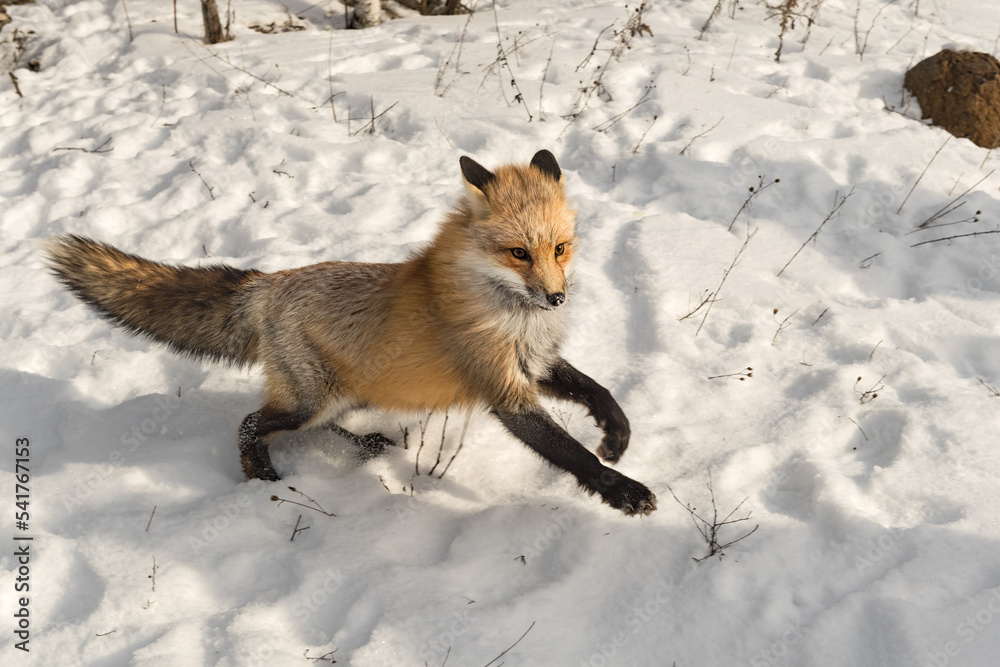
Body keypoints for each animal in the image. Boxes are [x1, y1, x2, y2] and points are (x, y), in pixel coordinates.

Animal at [44, 150, 657, 516]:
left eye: (560, 248)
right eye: (518, 253)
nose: (557, 298)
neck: (512, 314)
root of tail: (268, 283)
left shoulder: (533, 362)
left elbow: (599, 391)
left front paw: (617, 436)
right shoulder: (503, 388)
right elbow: (571, 454)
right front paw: (621, 489)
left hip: (346, 394)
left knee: (313, 425)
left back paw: (366, 445)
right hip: (310, 400)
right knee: (250, 423)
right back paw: (261, 476)